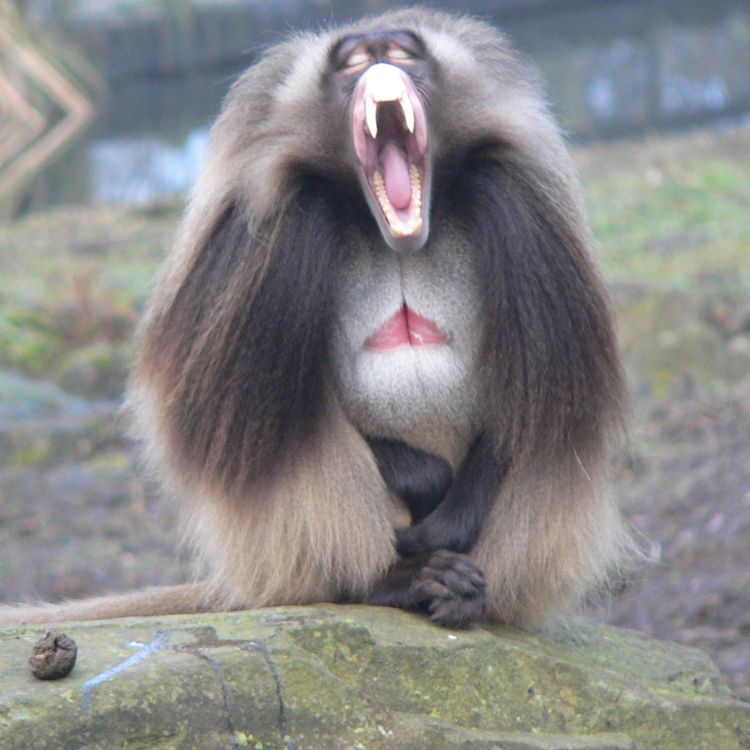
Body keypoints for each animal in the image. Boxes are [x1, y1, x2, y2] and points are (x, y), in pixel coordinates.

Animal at [0, 9, 633, 629]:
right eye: (353, 62)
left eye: (402, 54)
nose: (377, 61)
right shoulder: (267, 228)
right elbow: (207, 417)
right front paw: (421, 492)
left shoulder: (520, 204)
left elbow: (542, 408)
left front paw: (450, 518)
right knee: (280, 424)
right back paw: (388, 582)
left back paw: (463, 595)